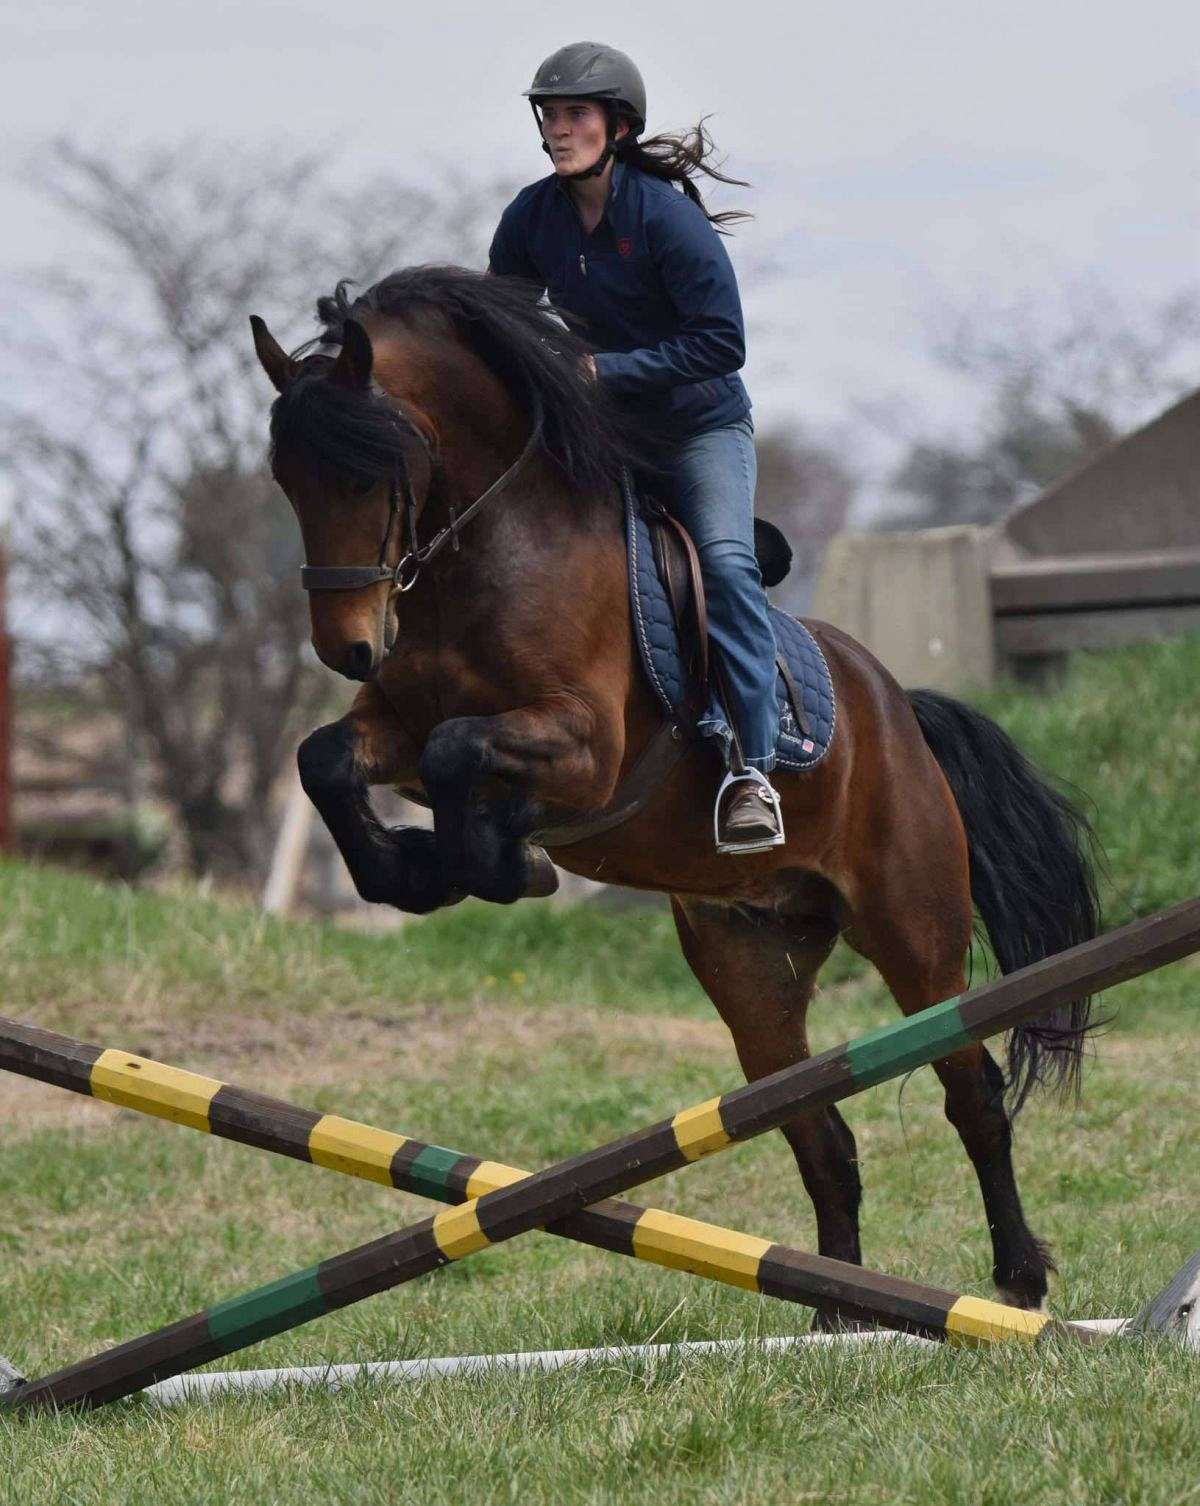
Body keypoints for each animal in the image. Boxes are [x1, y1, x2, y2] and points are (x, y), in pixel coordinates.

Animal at [250, 266, 1099, 1317]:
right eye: (286, 477)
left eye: (375, 468)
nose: (350, 647)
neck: (482, 557)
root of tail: (898, 704)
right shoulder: (392, 729)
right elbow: (327, 760)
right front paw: (414, 870)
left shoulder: (586, 747)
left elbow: (455, 756)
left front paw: (496, 861)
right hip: (753, 967)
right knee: (821, 1136)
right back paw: (835, 1314)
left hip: (914, 931)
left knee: (970, 1094)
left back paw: (1016, 1283)